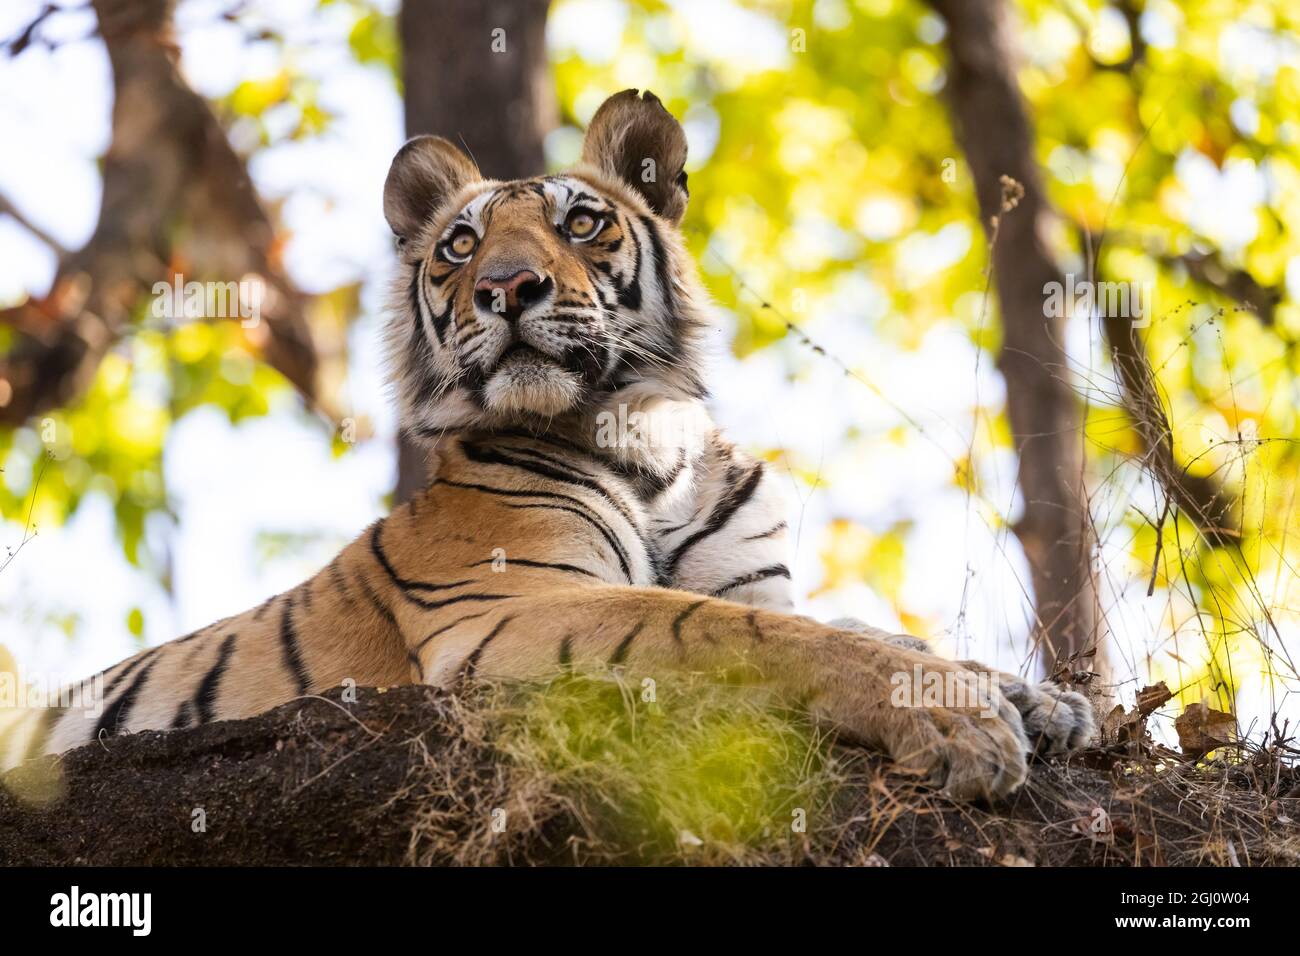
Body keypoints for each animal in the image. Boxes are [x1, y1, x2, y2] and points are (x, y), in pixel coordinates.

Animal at [0, 90, 1093, 801]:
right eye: (459, 244)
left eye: (582, 222)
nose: (506, 287)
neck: (650, 448)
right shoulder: (505, 607)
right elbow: (738, 630)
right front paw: (961, 723)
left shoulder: (751, 581)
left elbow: (867, 629)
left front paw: (1040, 699)